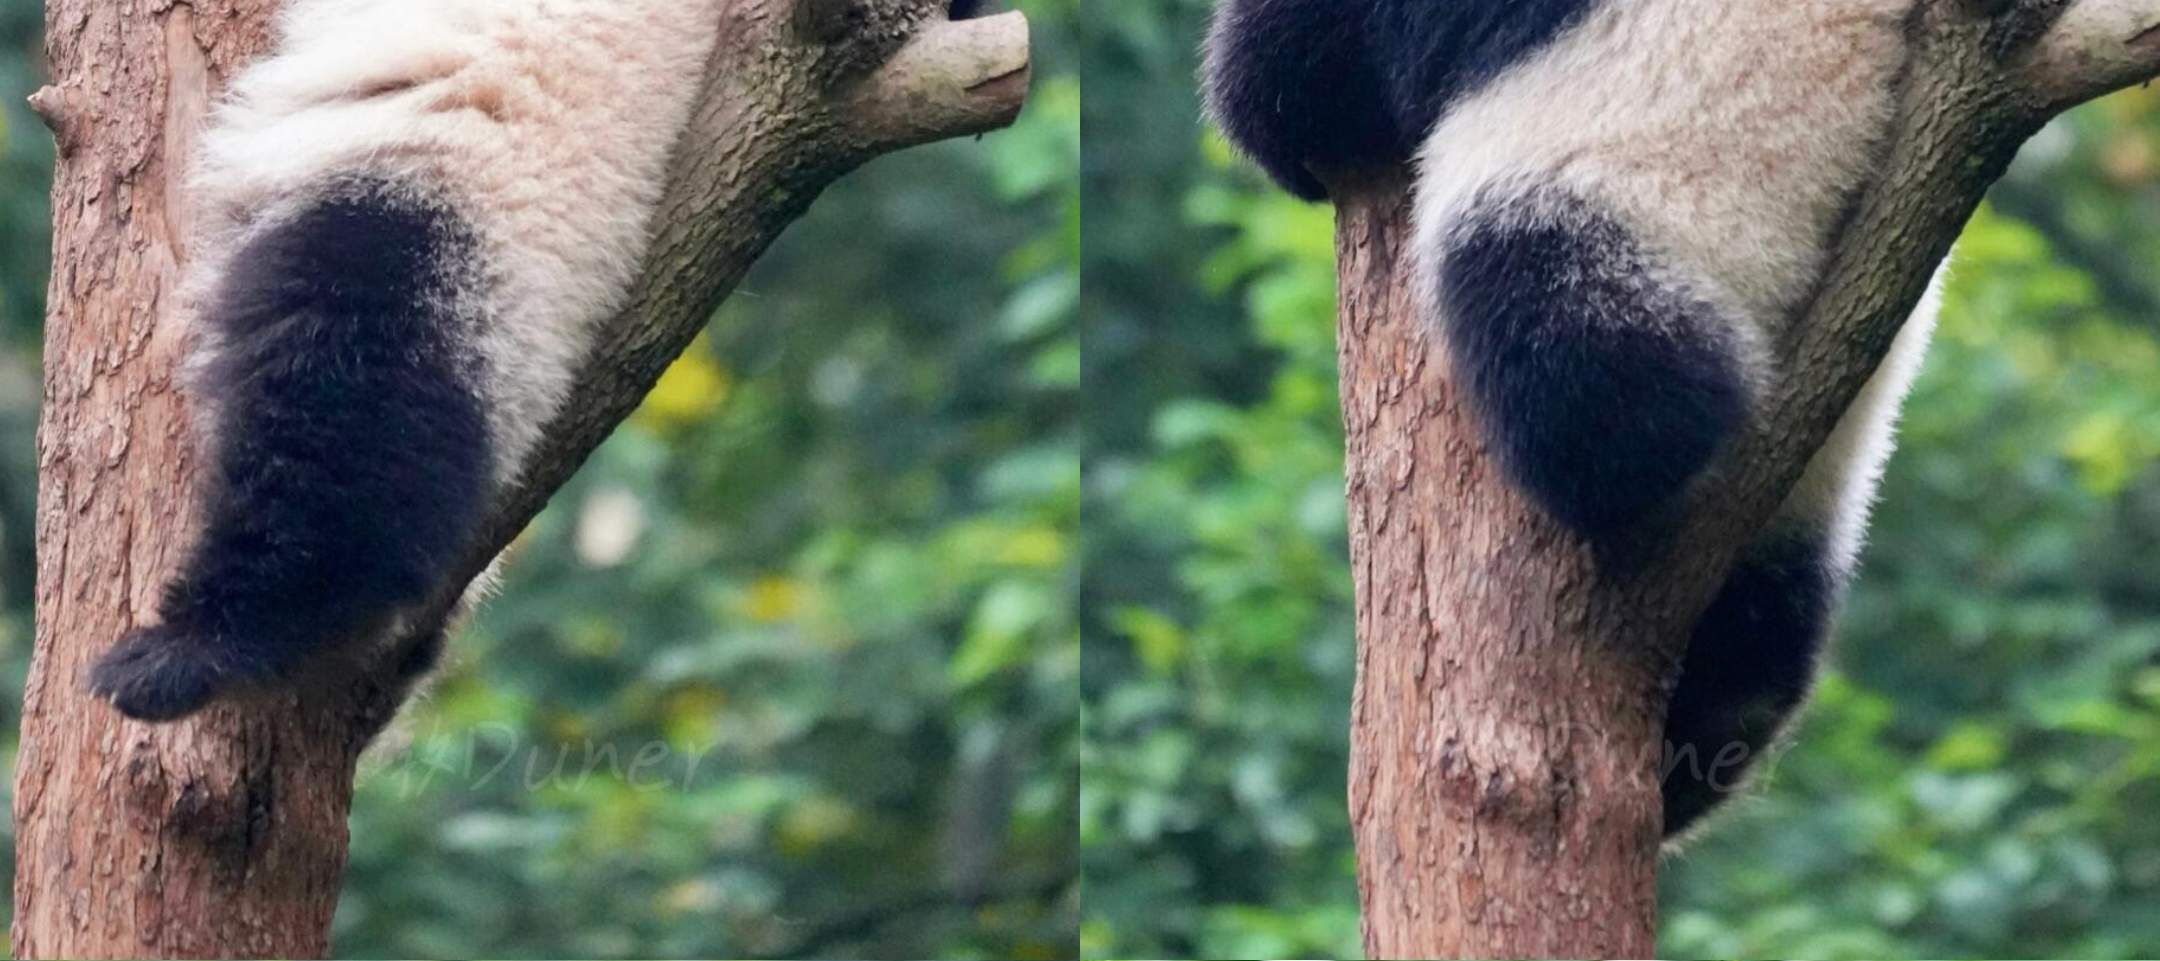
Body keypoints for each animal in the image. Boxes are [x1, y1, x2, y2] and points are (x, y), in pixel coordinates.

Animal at [1204, 0, 1945, 836]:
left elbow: (1306, 70)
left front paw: (1270, 118)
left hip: (1625, 221)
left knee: (1571, 355)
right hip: (1817, 482)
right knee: (1761, 641)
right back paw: (1697, 744)